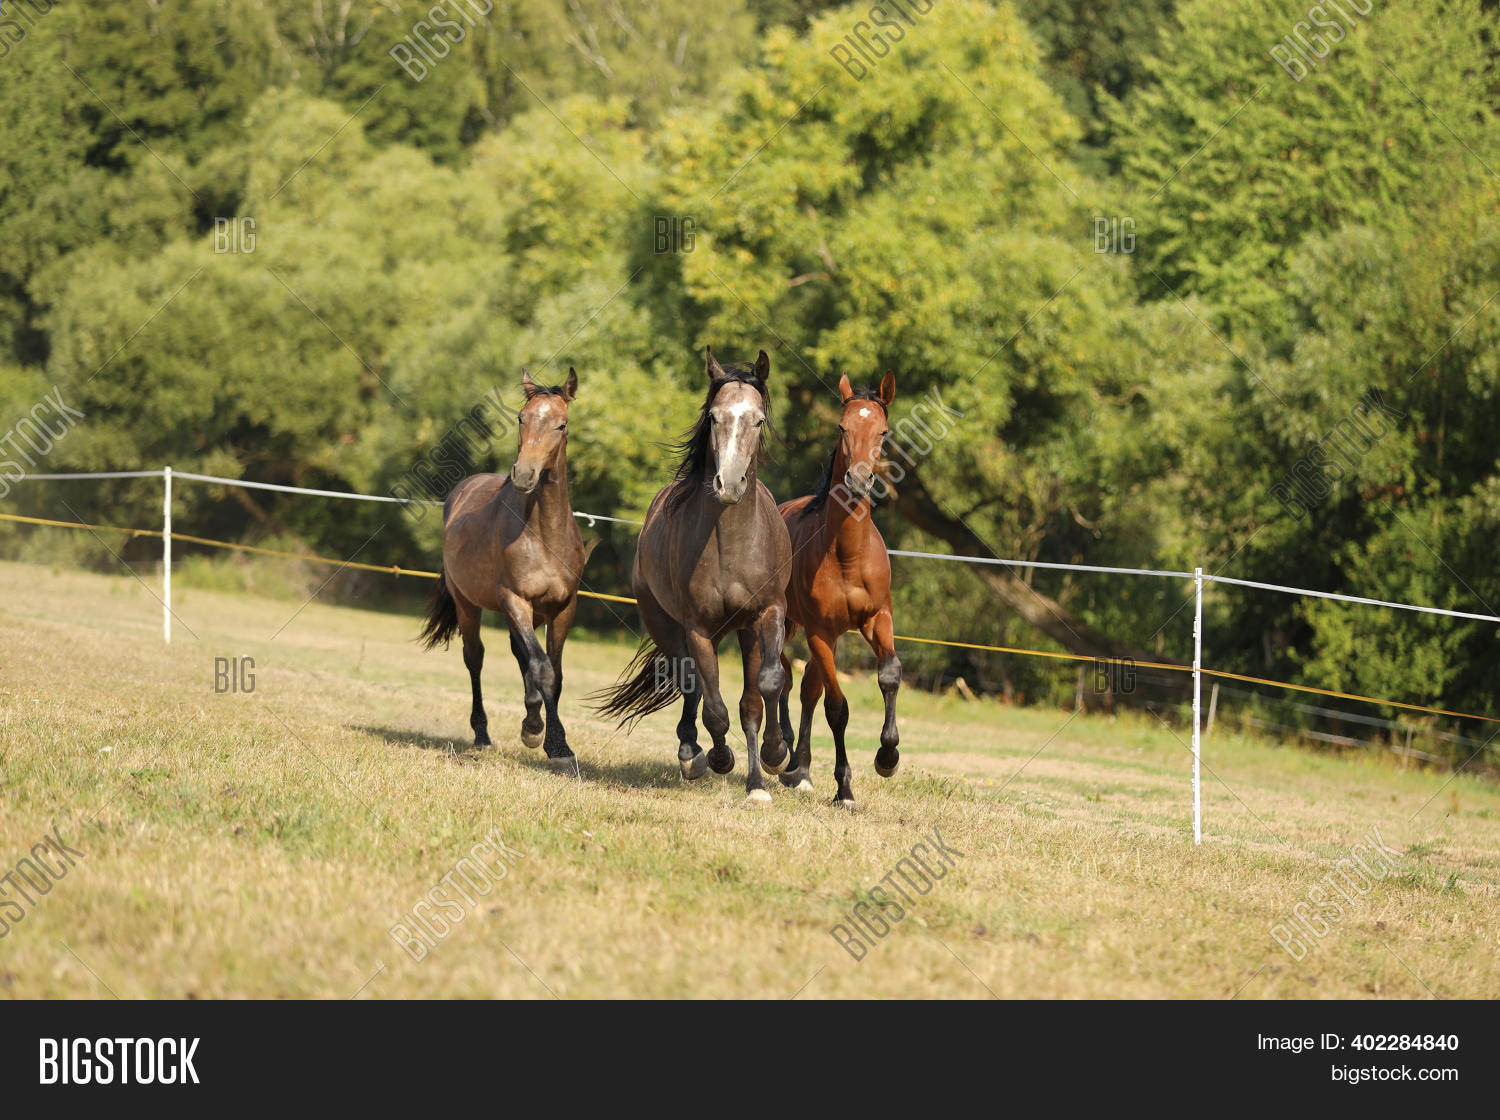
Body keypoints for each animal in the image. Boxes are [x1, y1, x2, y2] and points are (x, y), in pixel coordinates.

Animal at [418, 368, 585, 771]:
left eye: (561, 424)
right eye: (521, 418)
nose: (524, 474)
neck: (544, 535)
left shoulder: (563, 608)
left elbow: (553, 673)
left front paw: (549, 738)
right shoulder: (514, 600)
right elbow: (542, 668)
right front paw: (548, 739)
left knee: (519, 654)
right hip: (468, 605)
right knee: (475, 659)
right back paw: (482, 734)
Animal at [592, 348, 792, 805]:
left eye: (757, 419)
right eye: (714, 417)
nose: (729, 484)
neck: (732, 542)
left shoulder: (769, 612)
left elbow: (767, 686)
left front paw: (771, 761)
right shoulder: (698, 627)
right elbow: (713, 708)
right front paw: (718, 758)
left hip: (741, 631)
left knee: (746, 699)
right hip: (667, 623)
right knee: (691, 683)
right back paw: (691, 754)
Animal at [776, 371, 902, 807]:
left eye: (883, 431)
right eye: (842, 427)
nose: (859, 479)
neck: (848, 555)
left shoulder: (877, 619)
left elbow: (889, 675)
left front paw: (887, 756)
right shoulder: (819, 632)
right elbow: (838, 708)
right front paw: (844, 788)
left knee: (805, 687)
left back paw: (800, 769)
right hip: (790, 625)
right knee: (784, 676)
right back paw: (780, 753)